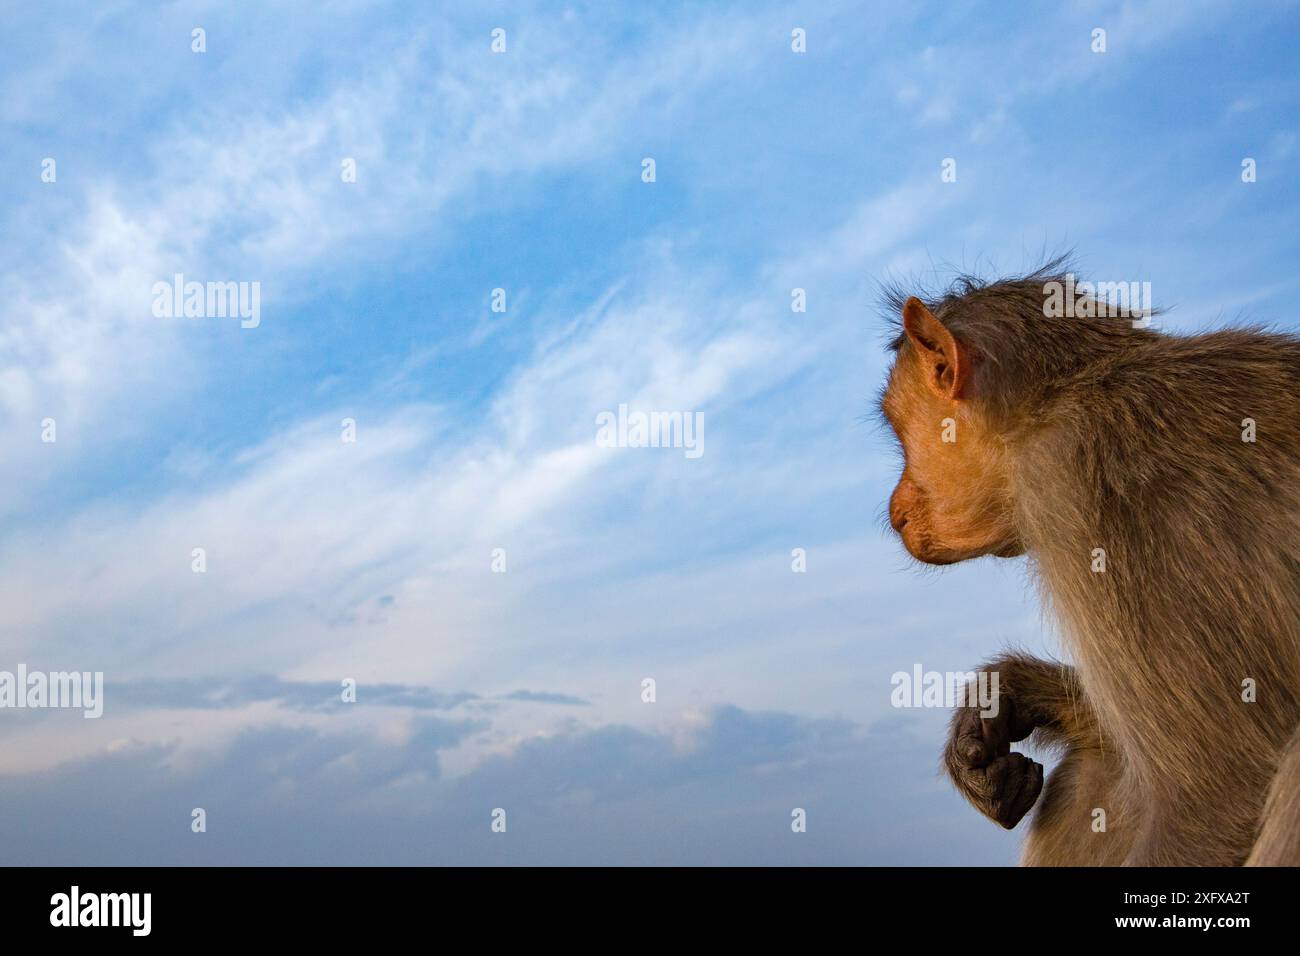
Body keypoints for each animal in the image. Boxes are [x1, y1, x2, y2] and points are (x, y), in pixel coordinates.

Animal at [878, 259, 1300, 865]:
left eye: (899, 431)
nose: (896, 509)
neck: (1057, 403)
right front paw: (1002, 698)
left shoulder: (1073, 485)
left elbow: (1221, 788)